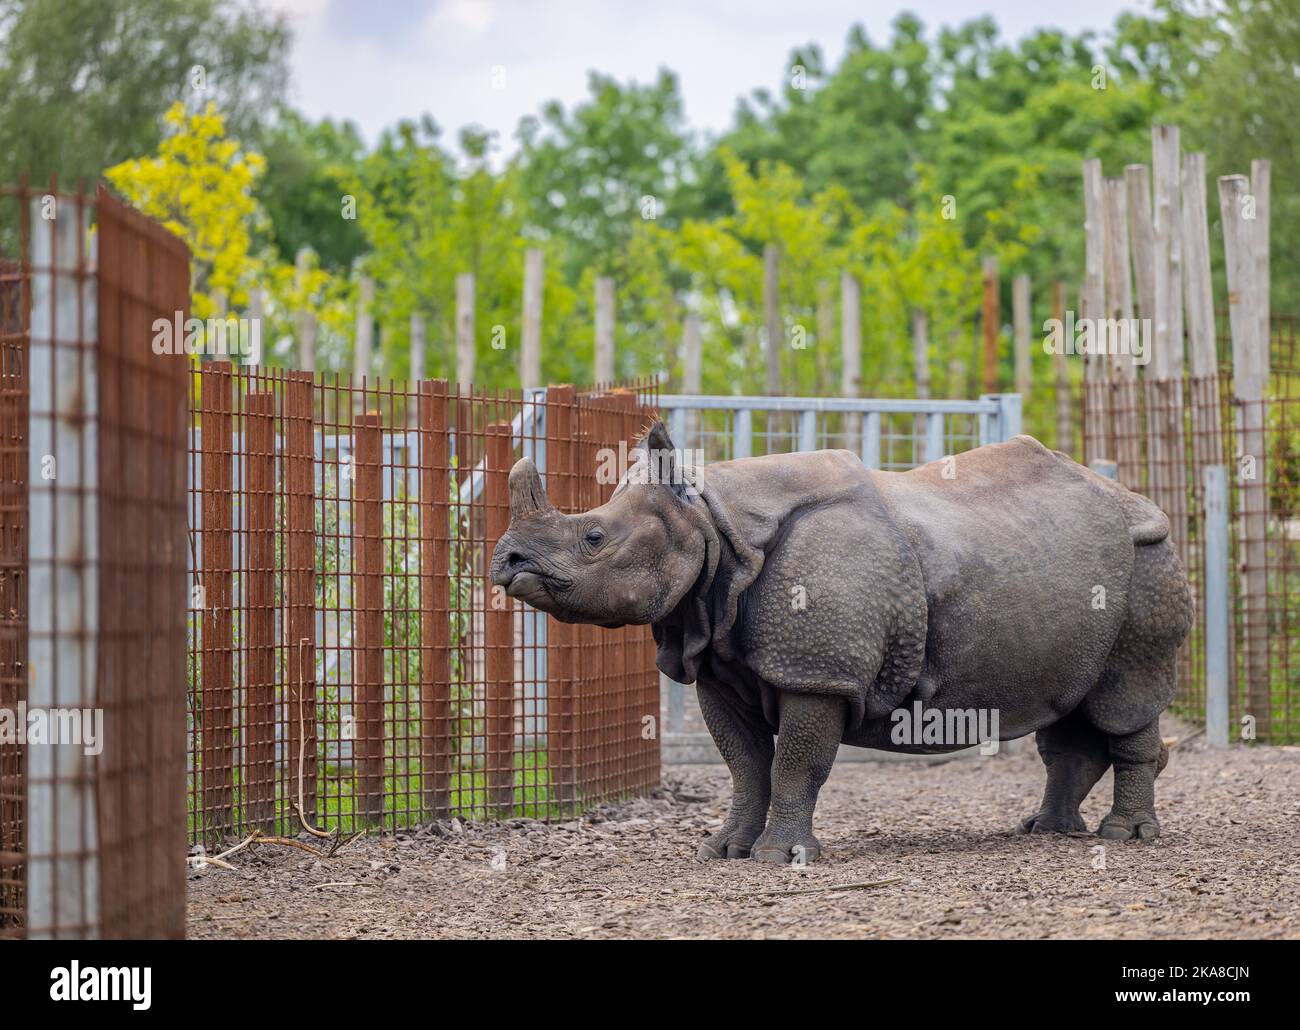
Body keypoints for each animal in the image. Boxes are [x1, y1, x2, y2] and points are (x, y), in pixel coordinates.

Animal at [490, 423, 1192, 864]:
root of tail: (1135, 496)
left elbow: (795, 762)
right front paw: (723, 852)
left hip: (1150, 556)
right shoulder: (720, 665)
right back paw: (1046, 831)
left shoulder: (816, 671)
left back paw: (1124, 837)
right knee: (1069, 706)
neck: (713, 524)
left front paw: (780, 859)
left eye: (593, 538)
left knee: (1123, 697)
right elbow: (745, 765)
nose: (507, 561)